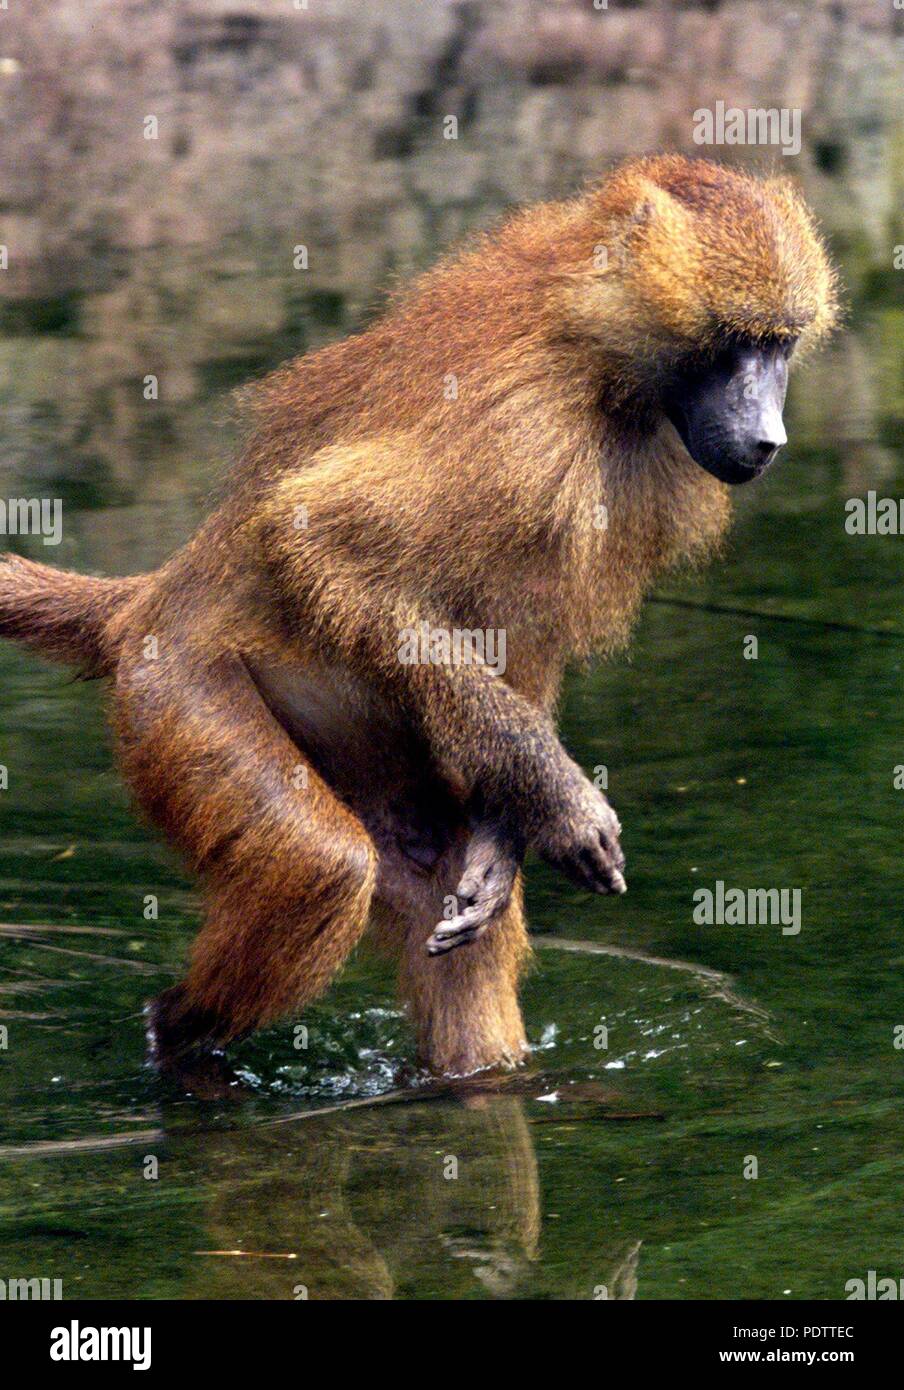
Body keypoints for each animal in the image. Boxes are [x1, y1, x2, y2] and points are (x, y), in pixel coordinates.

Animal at [0, 156, 837, 1079]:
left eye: (780, 344)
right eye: (733, 343)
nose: (768, 439)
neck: (597, 360)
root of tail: (152, 598)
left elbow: (525, 647)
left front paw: (509, 841)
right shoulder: (521, 427)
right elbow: (319, 545)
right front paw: (570, 807)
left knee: (453, 940)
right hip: (177, 693)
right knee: (323, 866)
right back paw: (176, 1036)